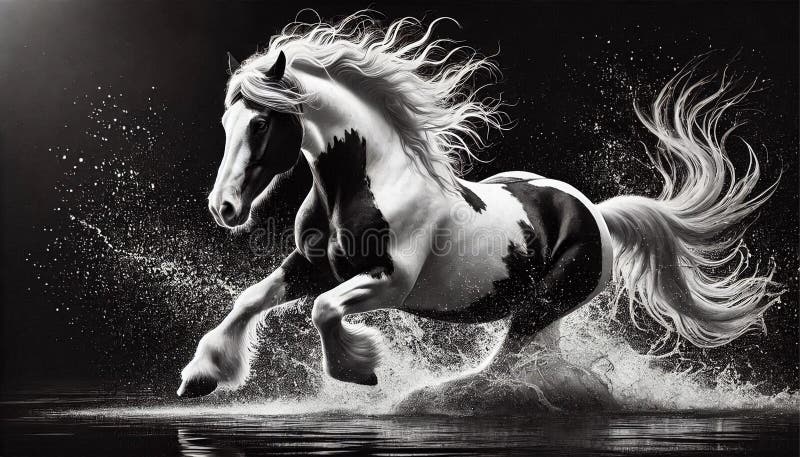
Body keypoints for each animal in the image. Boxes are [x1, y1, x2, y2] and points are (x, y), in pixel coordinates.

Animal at [177, 13, 779, 399]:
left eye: (260, 123)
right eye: (226, 121)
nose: (224, 208)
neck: (366, 181)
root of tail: (597, 215)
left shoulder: (389, 282)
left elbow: (324, 310)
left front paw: (360, 369)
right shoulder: (311, 265)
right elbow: (251, 298)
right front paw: (202, 375)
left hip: (546, 301)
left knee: (503, 362)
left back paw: (439, 395)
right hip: (538, 309)